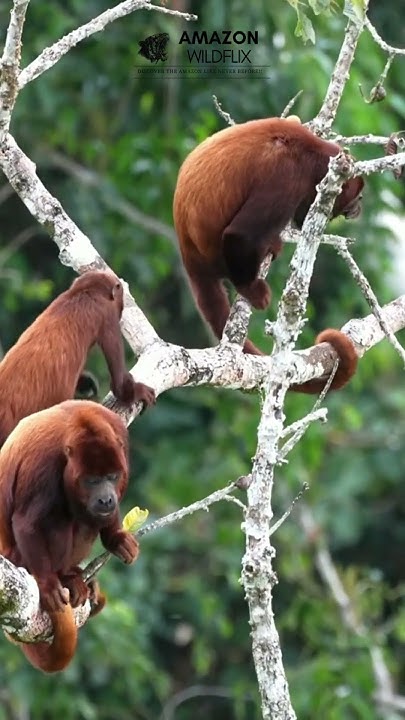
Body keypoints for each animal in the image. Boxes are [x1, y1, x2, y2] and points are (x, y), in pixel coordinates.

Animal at [0, 271, 155, 447]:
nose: (121, 309)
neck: (84, 292)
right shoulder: (108, 316)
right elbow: (119, 385)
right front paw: (136, 391)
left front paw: (84, 382)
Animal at [0, 400, 139, 672]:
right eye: (91, 481)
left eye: (112, 477)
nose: (106, 499)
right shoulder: (44, 461)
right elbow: (27, 523)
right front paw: (48, 584)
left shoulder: (120, 436)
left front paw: (116, 538)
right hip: (18, 557)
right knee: (59, 517)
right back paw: (64, 578)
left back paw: (74, 574)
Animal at [173, 117, 363, 391]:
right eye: (355, 198)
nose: (358, 209)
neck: (312, 153)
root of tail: (190, 256)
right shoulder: (288, 176)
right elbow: (240, 234)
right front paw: (252, 290)